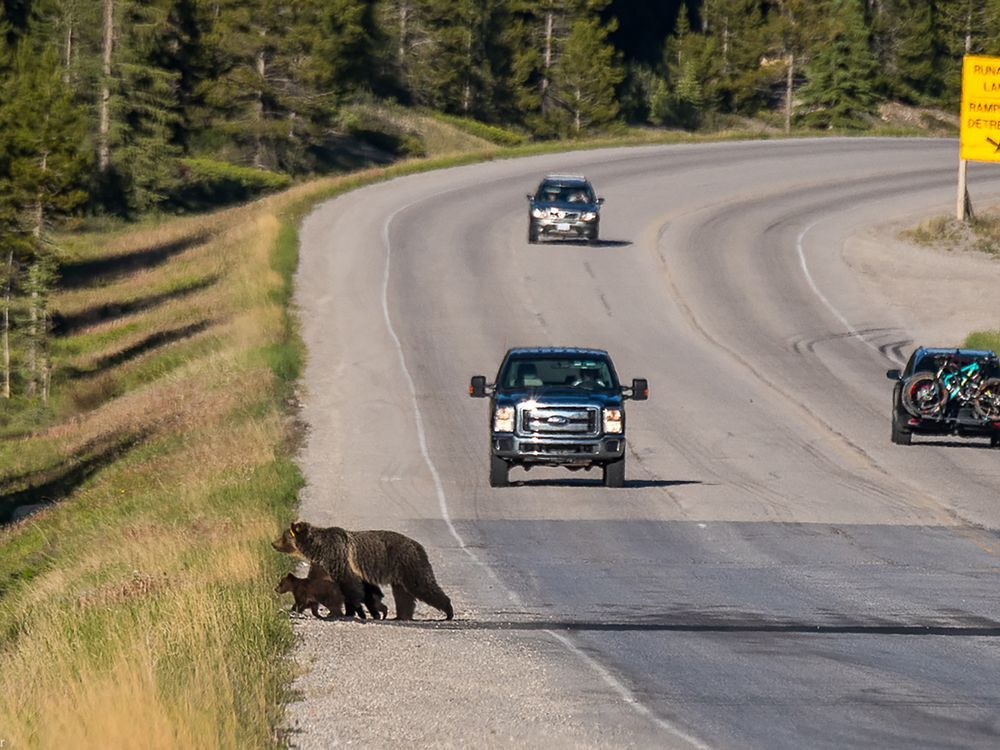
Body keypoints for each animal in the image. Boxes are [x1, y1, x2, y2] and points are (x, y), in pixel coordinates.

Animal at [272, 522, 454, 621]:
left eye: (283, 536)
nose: (273, 544)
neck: (319, 549)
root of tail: (419, 546)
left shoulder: (340, 558)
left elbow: (351, 587)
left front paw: (350, 611)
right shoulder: (326, 565)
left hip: (409, 564)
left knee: (423, 585)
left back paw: (448, 611)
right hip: (399, 573)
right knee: (403, 595)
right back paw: (402, 615)